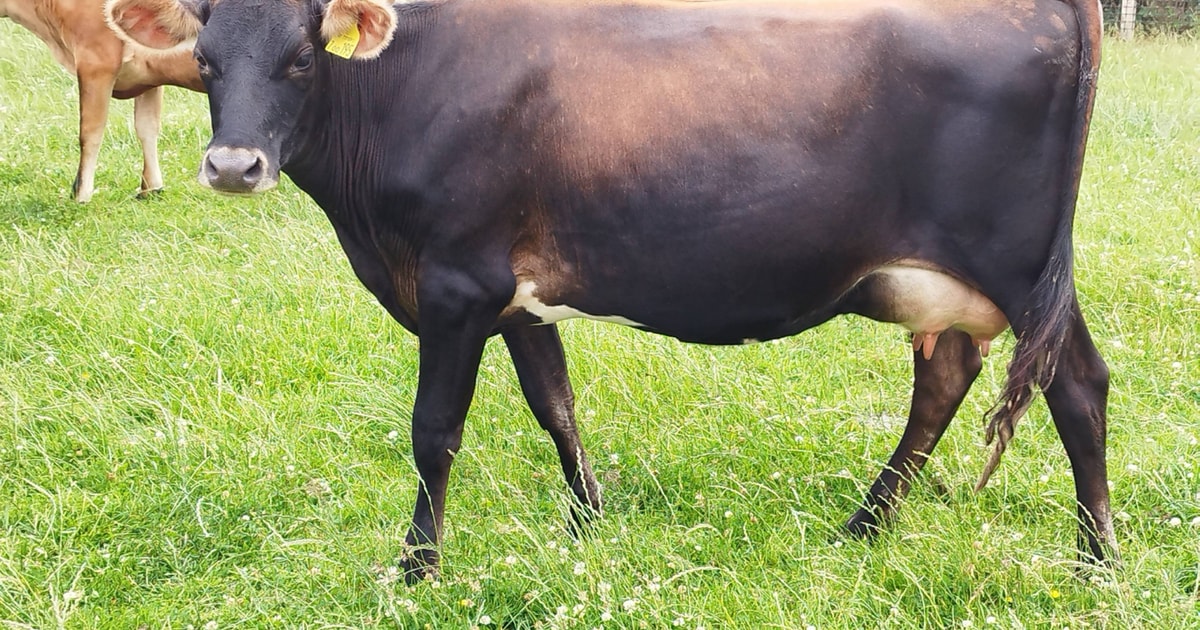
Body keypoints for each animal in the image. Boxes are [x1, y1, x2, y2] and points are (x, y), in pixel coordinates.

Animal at [1, 0, 203, 201]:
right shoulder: (149, 78)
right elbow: (147, 127)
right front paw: (151, 189)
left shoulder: (96, 61)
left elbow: (90, 134)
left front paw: (81, 195)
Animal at [106, 0, 1115, 581]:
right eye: (205, 57)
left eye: (303, 57)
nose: (233, 166)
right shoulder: (515, 292)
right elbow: (554, 401)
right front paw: (589, 519)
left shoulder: (457, 280)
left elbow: (434, 431)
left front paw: (417, 567)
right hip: (943, 284)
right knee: (944, 381)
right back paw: (861, 530)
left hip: (1020, 269)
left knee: (1077, 386)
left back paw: (1096, 563)